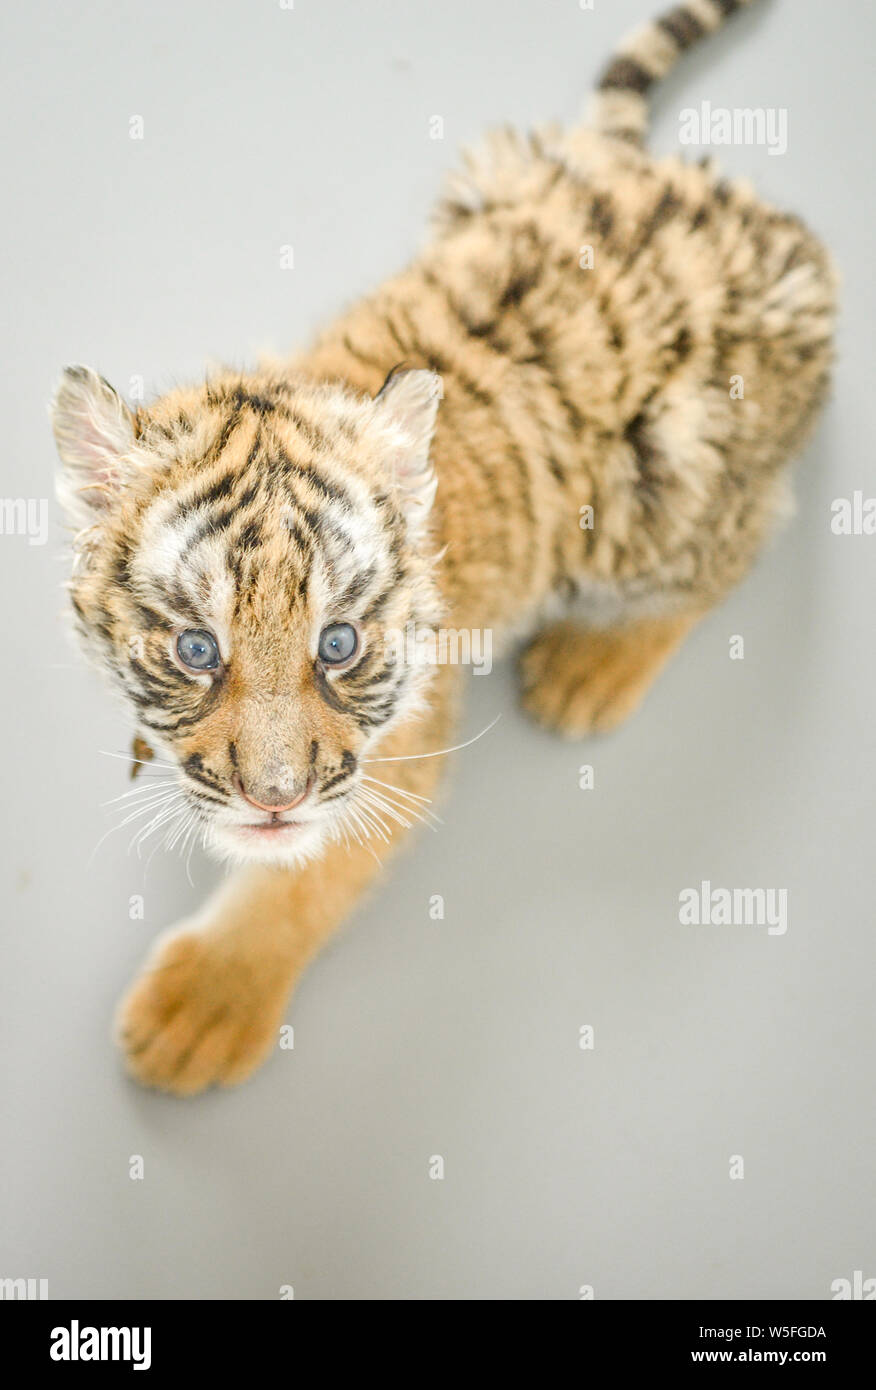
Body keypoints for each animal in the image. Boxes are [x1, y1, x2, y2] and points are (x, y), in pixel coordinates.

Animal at [51, 0, 836, 1094]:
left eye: (338, 645)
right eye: (195, 648)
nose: (271, 795)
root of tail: (740, 205)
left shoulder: (396, 749)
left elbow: (306, 878)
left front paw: (198, 1012)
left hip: (670, 474)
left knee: (742, 541)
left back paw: (588, 670)